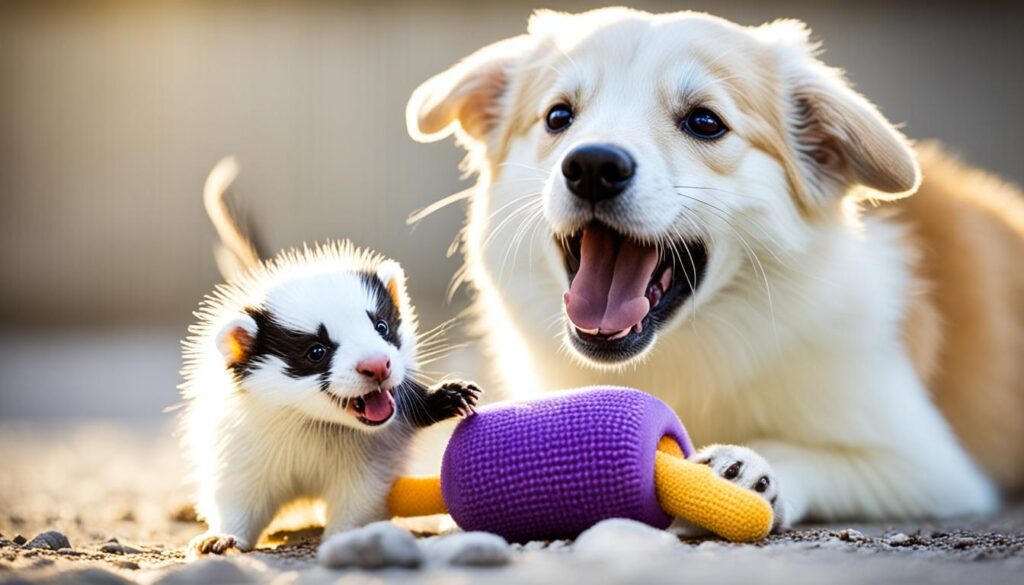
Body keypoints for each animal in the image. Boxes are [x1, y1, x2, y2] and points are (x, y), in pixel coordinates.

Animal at [405, 5, 1024, 524]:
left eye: (704, 122)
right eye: (558, 116)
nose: (593, 167)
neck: (687, 347)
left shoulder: (931, 466)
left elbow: (812, 454)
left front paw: (749, 469)